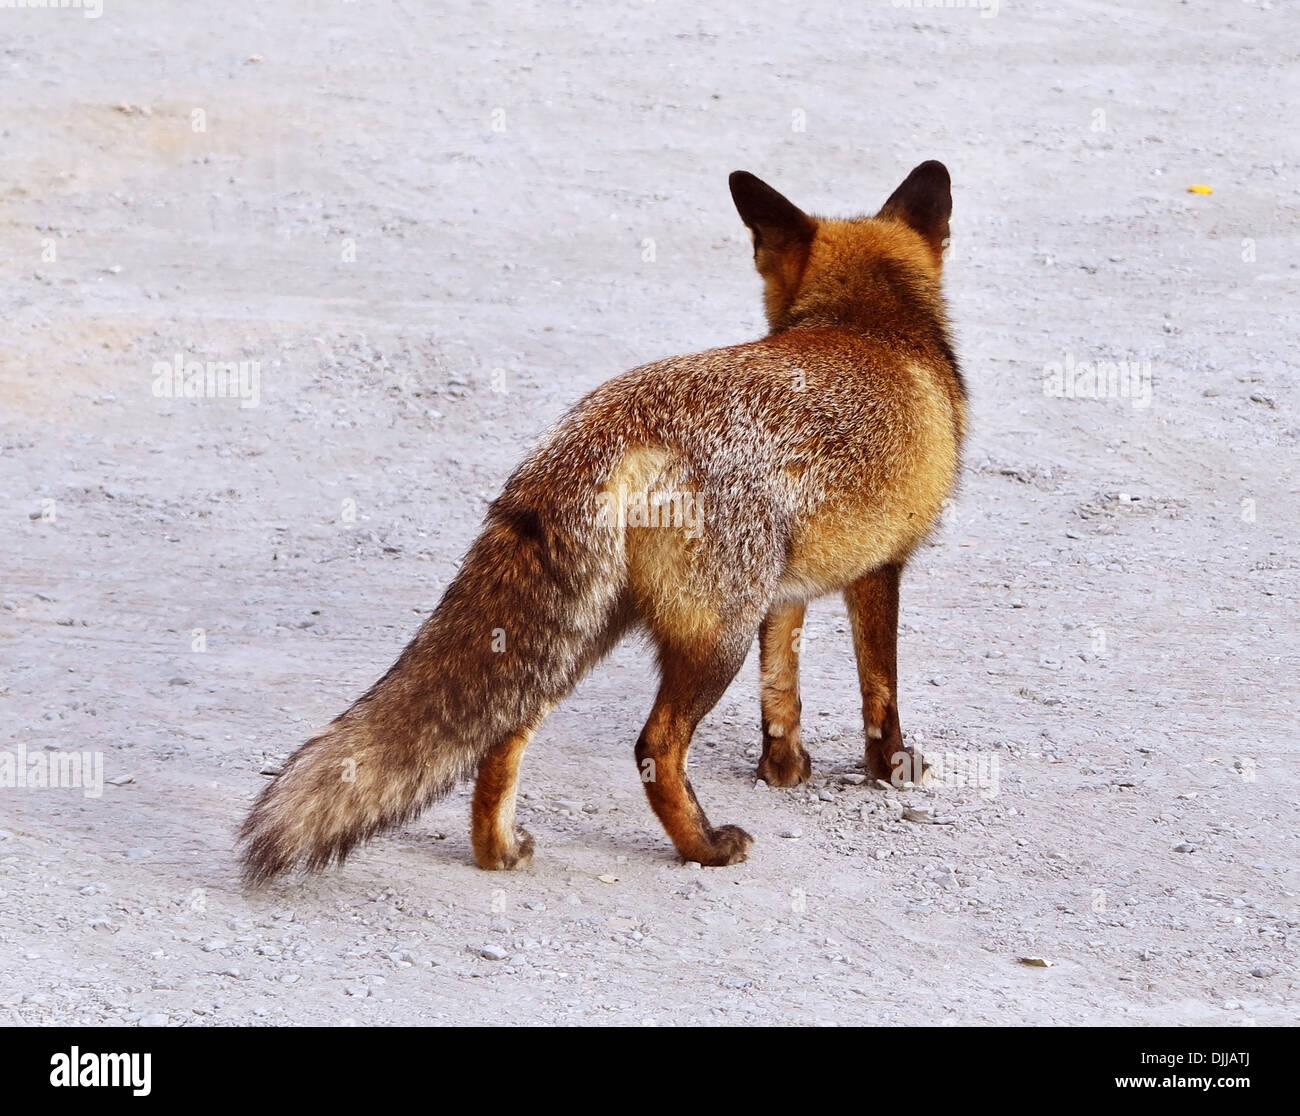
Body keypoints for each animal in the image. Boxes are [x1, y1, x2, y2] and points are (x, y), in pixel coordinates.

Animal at [239, 160, 966, 882]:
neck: (873, 327)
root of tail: (605, 425)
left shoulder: (786, 594)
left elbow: (781, 696)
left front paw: (784, 771)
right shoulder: (880, 568)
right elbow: (880, 692)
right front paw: (889, 769)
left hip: (581, 633)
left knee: (503, 734)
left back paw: (498, 851)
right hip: (710, 637)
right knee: (654, 747)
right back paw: (704, 848)